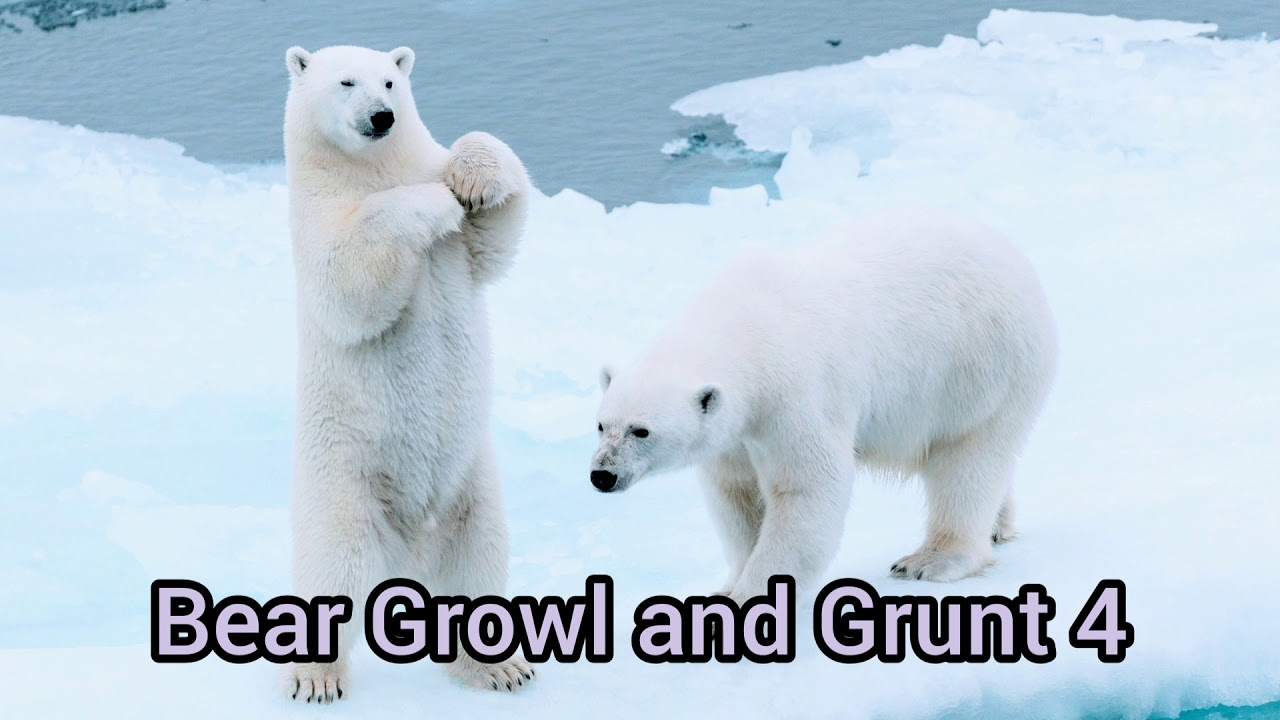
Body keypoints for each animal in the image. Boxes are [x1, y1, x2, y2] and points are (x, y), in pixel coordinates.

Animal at [282, 44, 534, 702]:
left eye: (391, 82)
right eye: (346, 82)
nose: (382, 117)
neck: (370, 169)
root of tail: (408, 551)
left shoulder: (463, 249)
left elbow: (496, 237)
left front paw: (470, 180)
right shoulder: (315, 218)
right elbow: (349, 282)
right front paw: (435, 202)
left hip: (471, 486)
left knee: (477, 561)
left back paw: (498, 664)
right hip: (343, 485)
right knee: (333, 571)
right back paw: (316, 676)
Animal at [591, 208, 1057, 603]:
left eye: (641, 430)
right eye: (601, 424)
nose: (602, 475)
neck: (744, 327)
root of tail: (1018, 261)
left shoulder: (795, 394)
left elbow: (807, 488)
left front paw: (750, 597)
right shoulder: (736, 431)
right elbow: (737, 494)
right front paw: (728, 586)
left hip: (979, 367)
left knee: (967, 459)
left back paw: (930, 559)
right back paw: (998, 526)